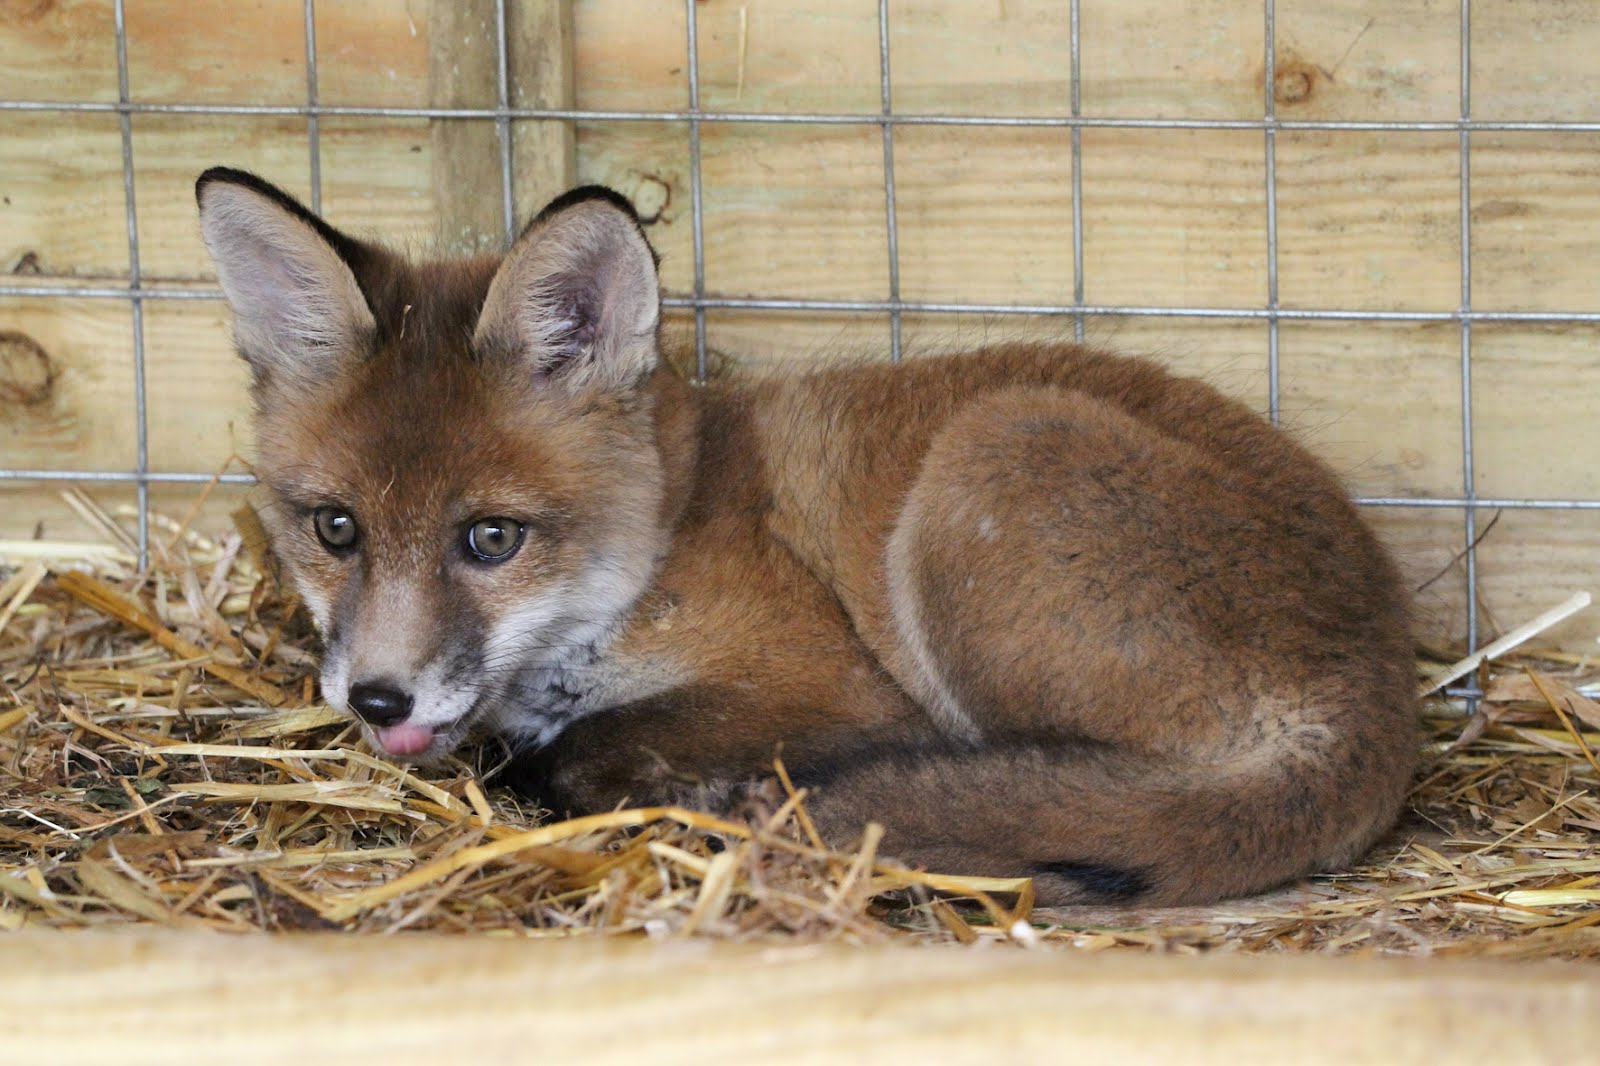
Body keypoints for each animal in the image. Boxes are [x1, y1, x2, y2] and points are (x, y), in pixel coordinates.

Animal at [195, 165, 1419, 907]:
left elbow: (591, 743)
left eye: (491, 538)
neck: (660, 544)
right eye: (336, 528)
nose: (378, 699)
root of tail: (1382, 702)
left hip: (991, 457)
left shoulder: (836, 682)